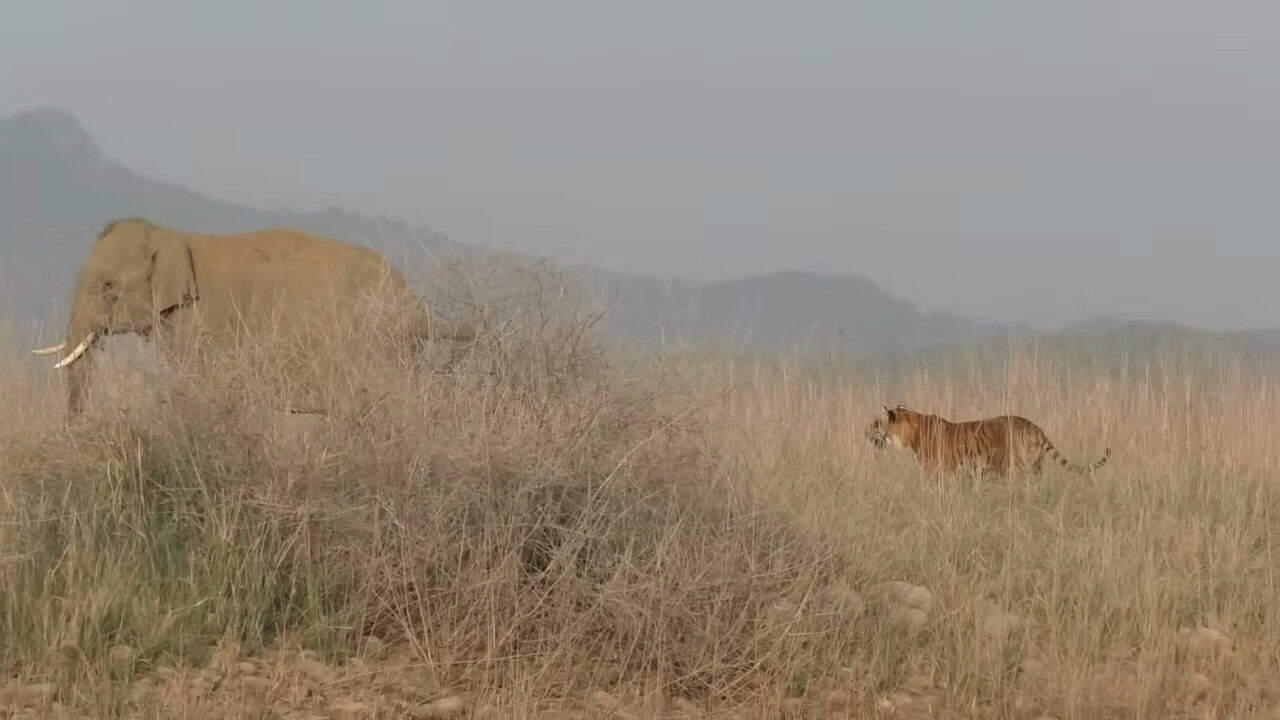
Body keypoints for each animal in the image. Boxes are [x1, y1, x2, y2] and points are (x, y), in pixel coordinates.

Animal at [34, 218, 475, 418]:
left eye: (108, 286)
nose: (76, 430)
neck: (170, 234)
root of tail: (414, 305)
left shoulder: (205, 322)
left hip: (376, 349)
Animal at [864, 403, 1110, 477]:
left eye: (876, 424)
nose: (864, 432)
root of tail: (1032, 425)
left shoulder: (935, 471)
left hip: (1013, 469)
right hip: (1036, 467)